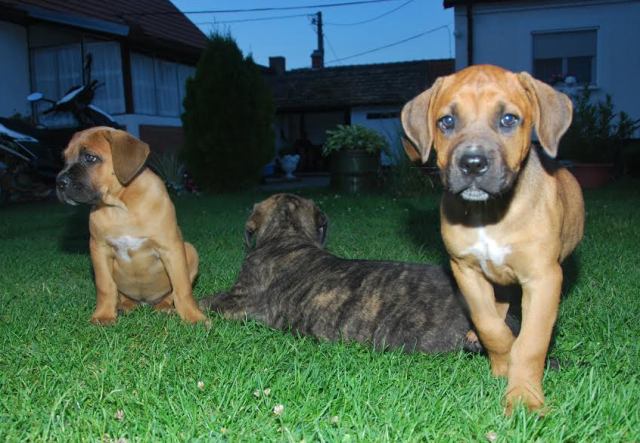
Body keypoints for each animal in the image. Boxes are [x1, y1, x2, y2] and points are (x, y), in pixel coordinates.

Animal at [56, 127, 208, 326]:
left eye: (90, 157)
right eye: (65, 159)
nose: (59, 183)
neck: (122, 206)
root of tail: (145, 303)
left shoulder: (170, 248)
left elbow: (182, 287)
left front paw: (193, 316)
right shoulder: (99, 249)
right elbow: (105, 286)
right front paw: (104, 315)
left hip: (189, 250)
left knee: (170, 294)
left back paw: (164, 307)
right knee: (121, 294)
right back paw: (125, 306)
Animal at [402, 64, 584, 414]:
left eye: (508, 119)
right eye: (447, 121)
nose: (472, 163)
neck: (489, 212)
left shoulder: (543, 278)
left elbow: (531, 342)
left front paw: (525, 397)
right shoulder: (465, 269)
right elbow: (489, 324)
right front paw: (502, 363)